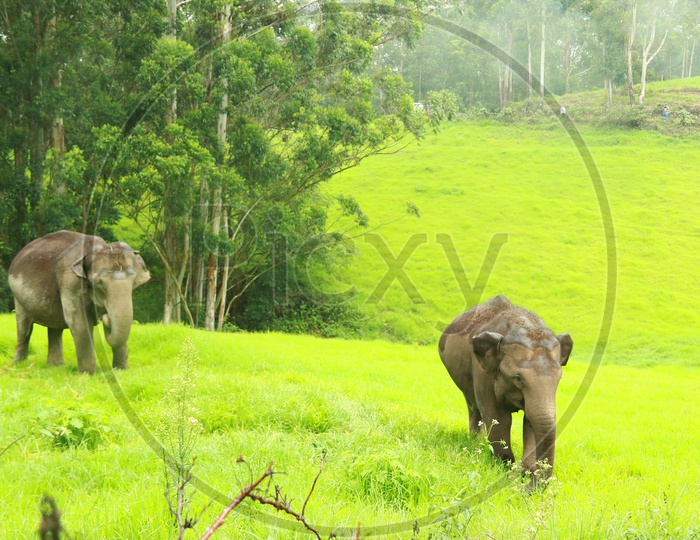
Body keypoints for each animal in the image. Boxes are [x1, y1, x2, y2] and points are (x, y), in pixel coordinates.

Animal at [8, 230, 150, 374]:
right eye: (100, 282)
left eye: (133, 280)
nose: (106, 318)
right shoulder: (70, 281)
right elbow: (80, 323)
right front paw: (88, 374)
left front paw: (121, 370)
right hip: (18, 298)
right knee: (25, 328)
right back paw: (19, 364)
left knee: (54, 328)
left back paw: (55, 366)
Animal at [438, 295, 572, 484]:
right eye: (518, 379)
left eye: (559, 378)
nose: (528, 488)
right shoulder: (482, 372)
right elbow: (498, 417)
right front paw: (505, 467)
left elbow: (530, 421)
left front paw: (526, 471)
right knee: (473, 405)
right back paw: (476, 441)